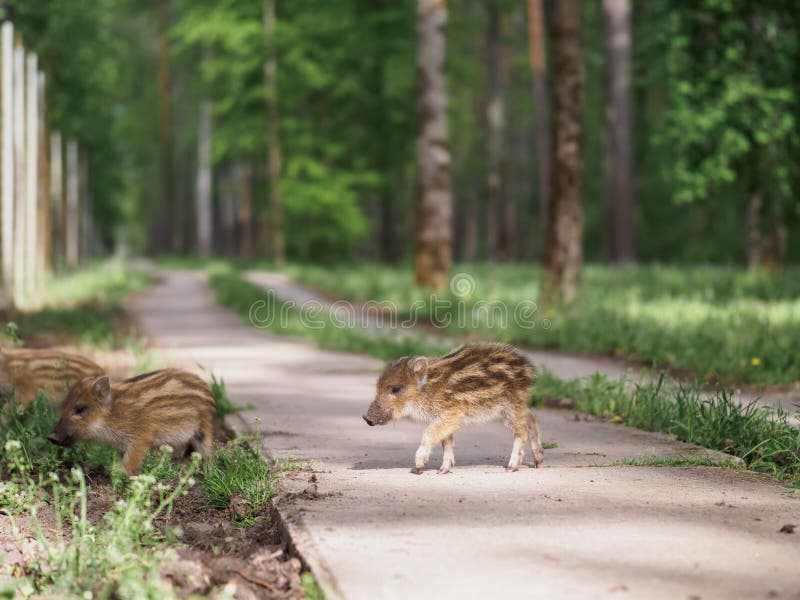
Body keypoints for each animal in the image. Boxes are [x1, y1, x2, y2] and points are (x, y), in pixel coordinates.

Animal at [48, 368, 216, 475]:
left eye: (80, 409)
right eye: (63, 406)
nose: (51, 437)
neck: (113, 415)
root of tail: (209, 390)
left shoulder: (141, 437)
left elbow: (130, 462)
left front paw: (119, 474)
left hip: (204, 428)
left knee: (207, 453)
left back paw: (208, 473)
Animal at [363, 343, 544, 474]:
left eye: (395, 389)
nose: (366, 417)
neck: (427, 389)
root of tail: (529, 370)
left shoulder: (452, 414)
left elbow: (429, 434)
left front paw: (419, 467)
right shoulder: (443, 418)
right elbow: (447, 442)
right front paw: (444, 470)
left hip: (510, 405)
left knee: (522, 430)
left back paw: (512, 467)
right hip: (513, 406)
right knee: (531, 419)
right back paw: (538, 462)